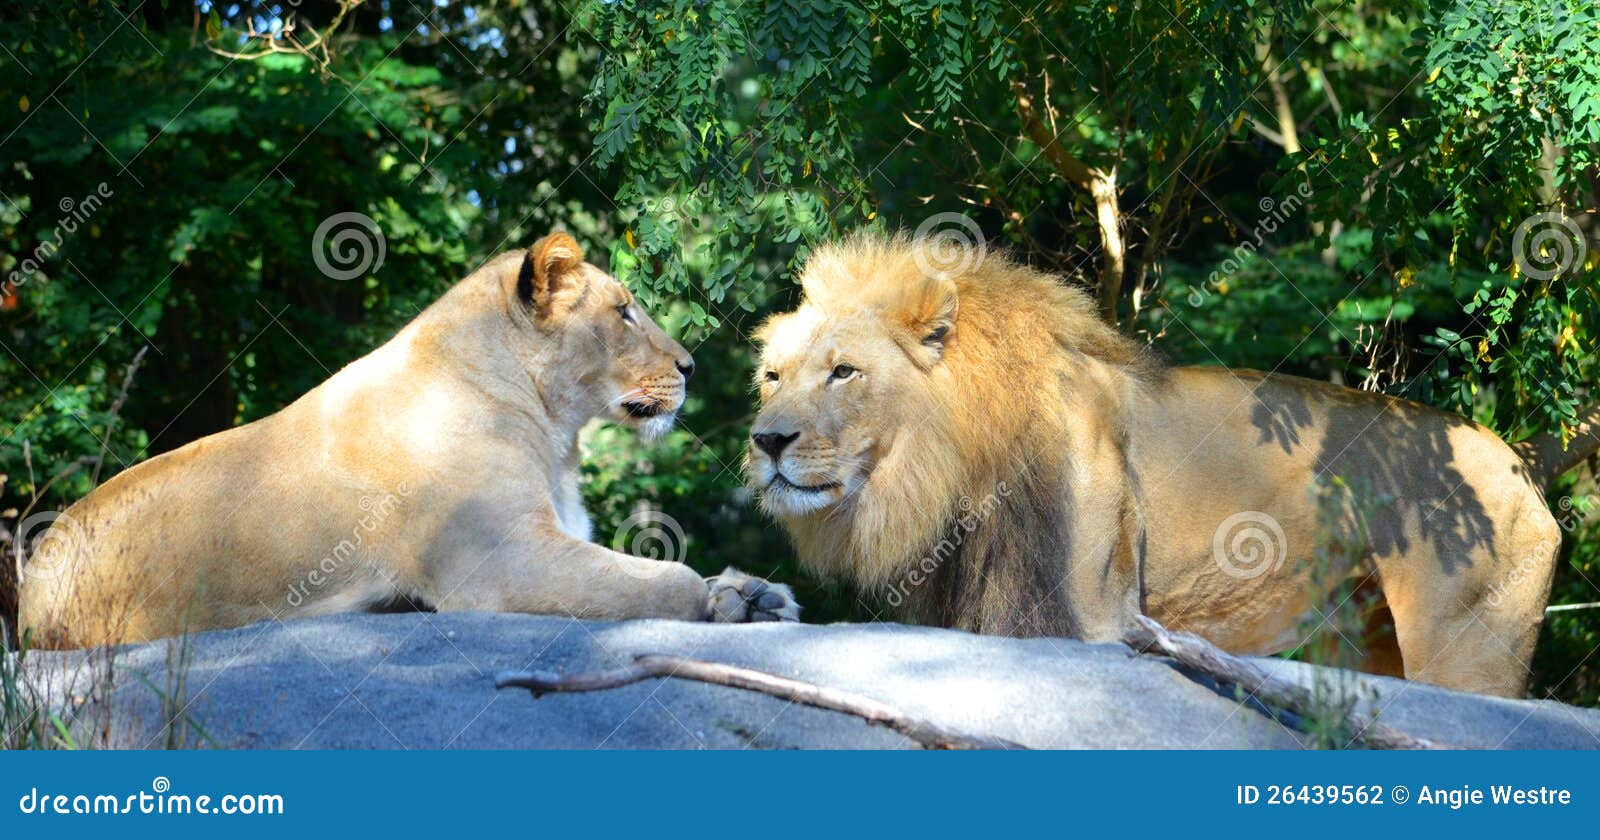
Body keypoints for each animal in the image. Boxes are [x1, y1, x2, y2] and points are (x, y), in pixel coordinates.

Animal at [18, 231, 798, 649]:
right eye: (625, 312)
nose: (690, 368)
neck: (554, 430)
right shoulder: (500, 560)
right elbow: (660, 580)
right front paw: (723, 601)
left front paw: (754, 593)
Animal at [747, 230, 1598, 697]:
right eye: (773, 376)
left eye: (844, 372)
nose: (767, 442)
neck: (952, 465)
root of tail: (1517, 459)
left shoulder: (1094, 615)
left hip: (1468, 640)